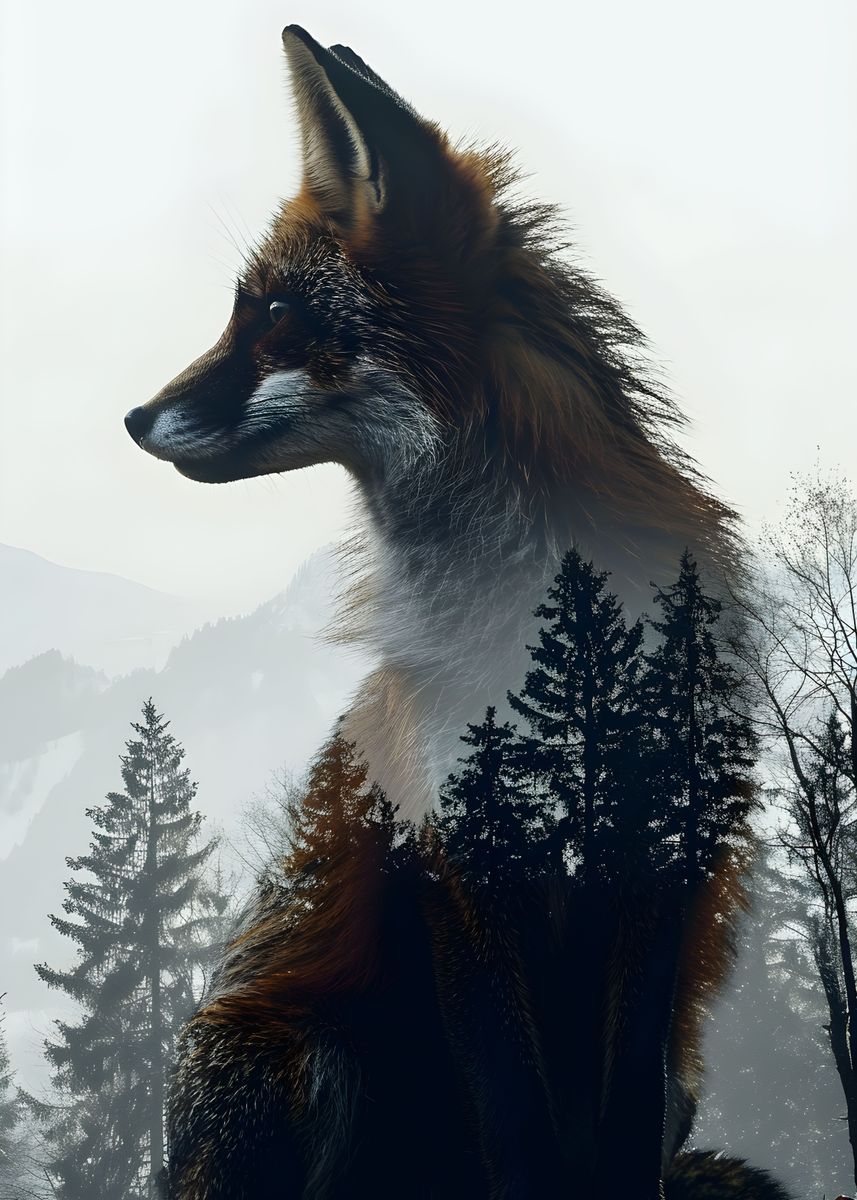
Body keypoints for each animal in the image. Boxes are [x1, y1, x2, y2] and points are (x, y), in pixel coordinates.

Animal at [126, 24, 791, 1200]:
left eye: (275, 320)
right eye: (239, 313)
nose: (130, 416)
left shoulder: (656, 865)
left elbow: (616, 1130)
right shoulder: (456, 867)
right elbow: (516, 1127)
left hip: (676, 1074)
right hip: (299, 1058)